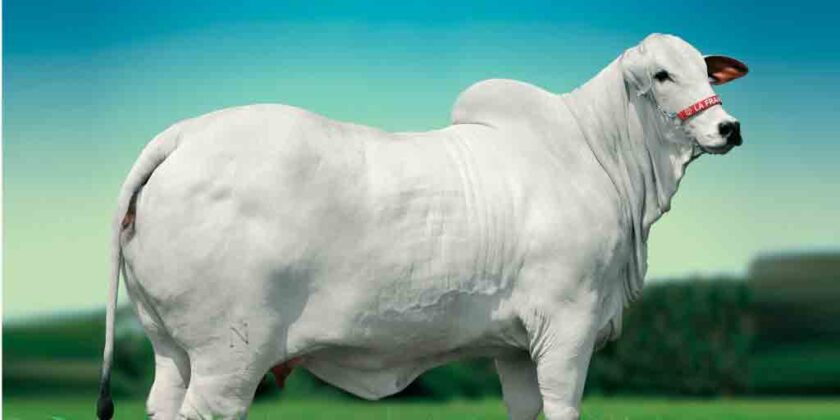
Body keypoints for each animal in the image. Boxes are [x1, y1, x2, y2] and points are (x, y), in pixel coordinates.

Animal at [97, 33, 748, 420]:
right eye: (661, 76)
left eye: (706, 72)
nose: (729, 128)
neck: (601, 155)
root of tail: (182, 135)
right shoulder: (569, 324)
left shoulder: (518, 346)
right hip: (229, 357)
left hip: (171, 348)